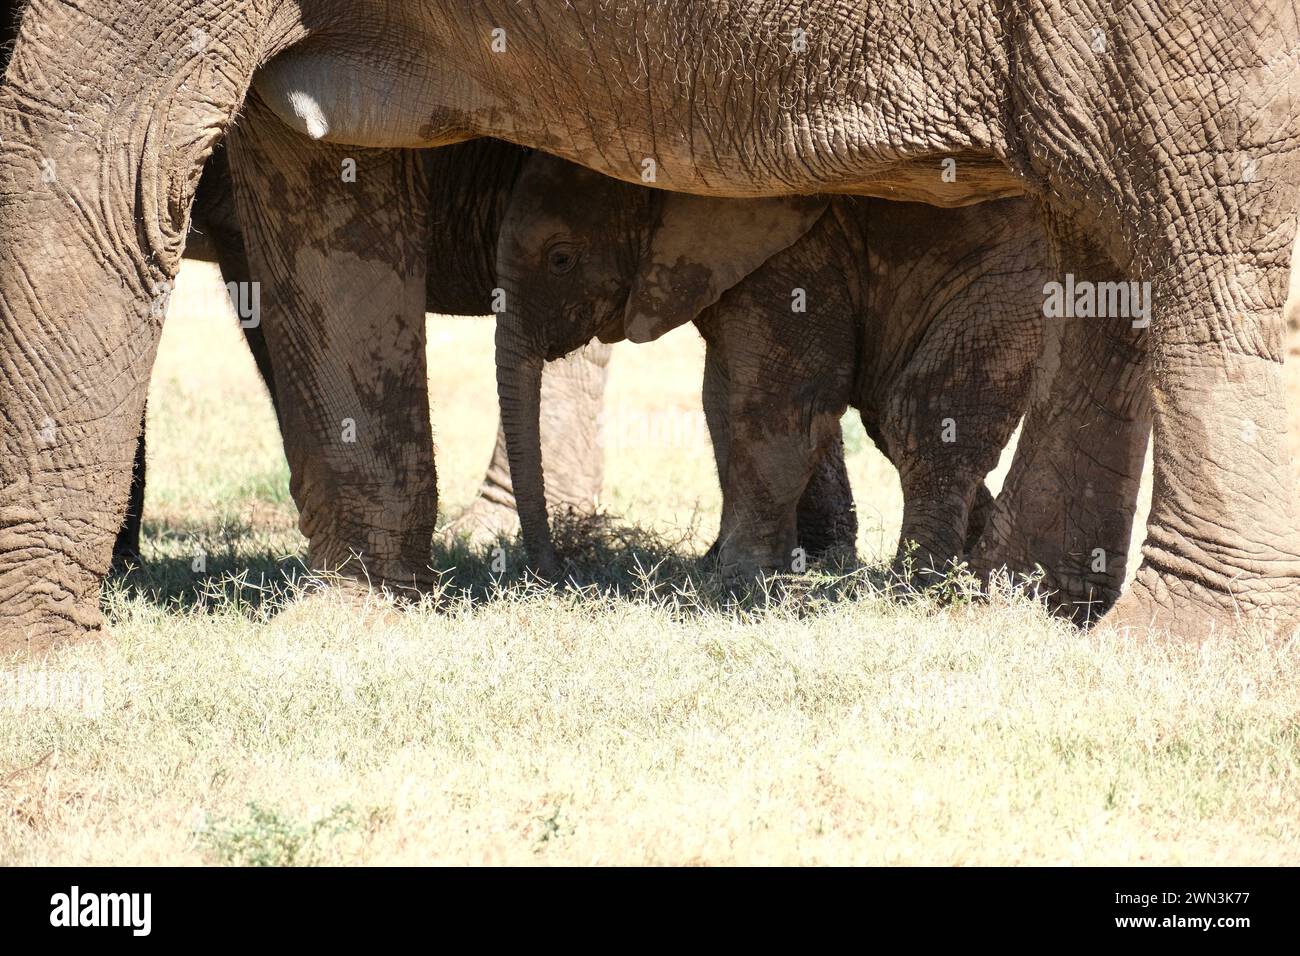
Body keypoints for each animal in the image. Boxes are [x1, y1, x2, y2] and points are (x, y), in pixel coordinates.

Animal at [493, 153, 1048, 584]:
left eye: (561, 259)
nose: (555, 573)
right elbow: (721, 401)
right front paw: (746, 569)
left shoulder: (798, 252)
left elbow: (787, 402)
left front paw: (740, 580)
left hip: (1007, 284)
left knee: (923, 415)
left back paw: (917, 583)